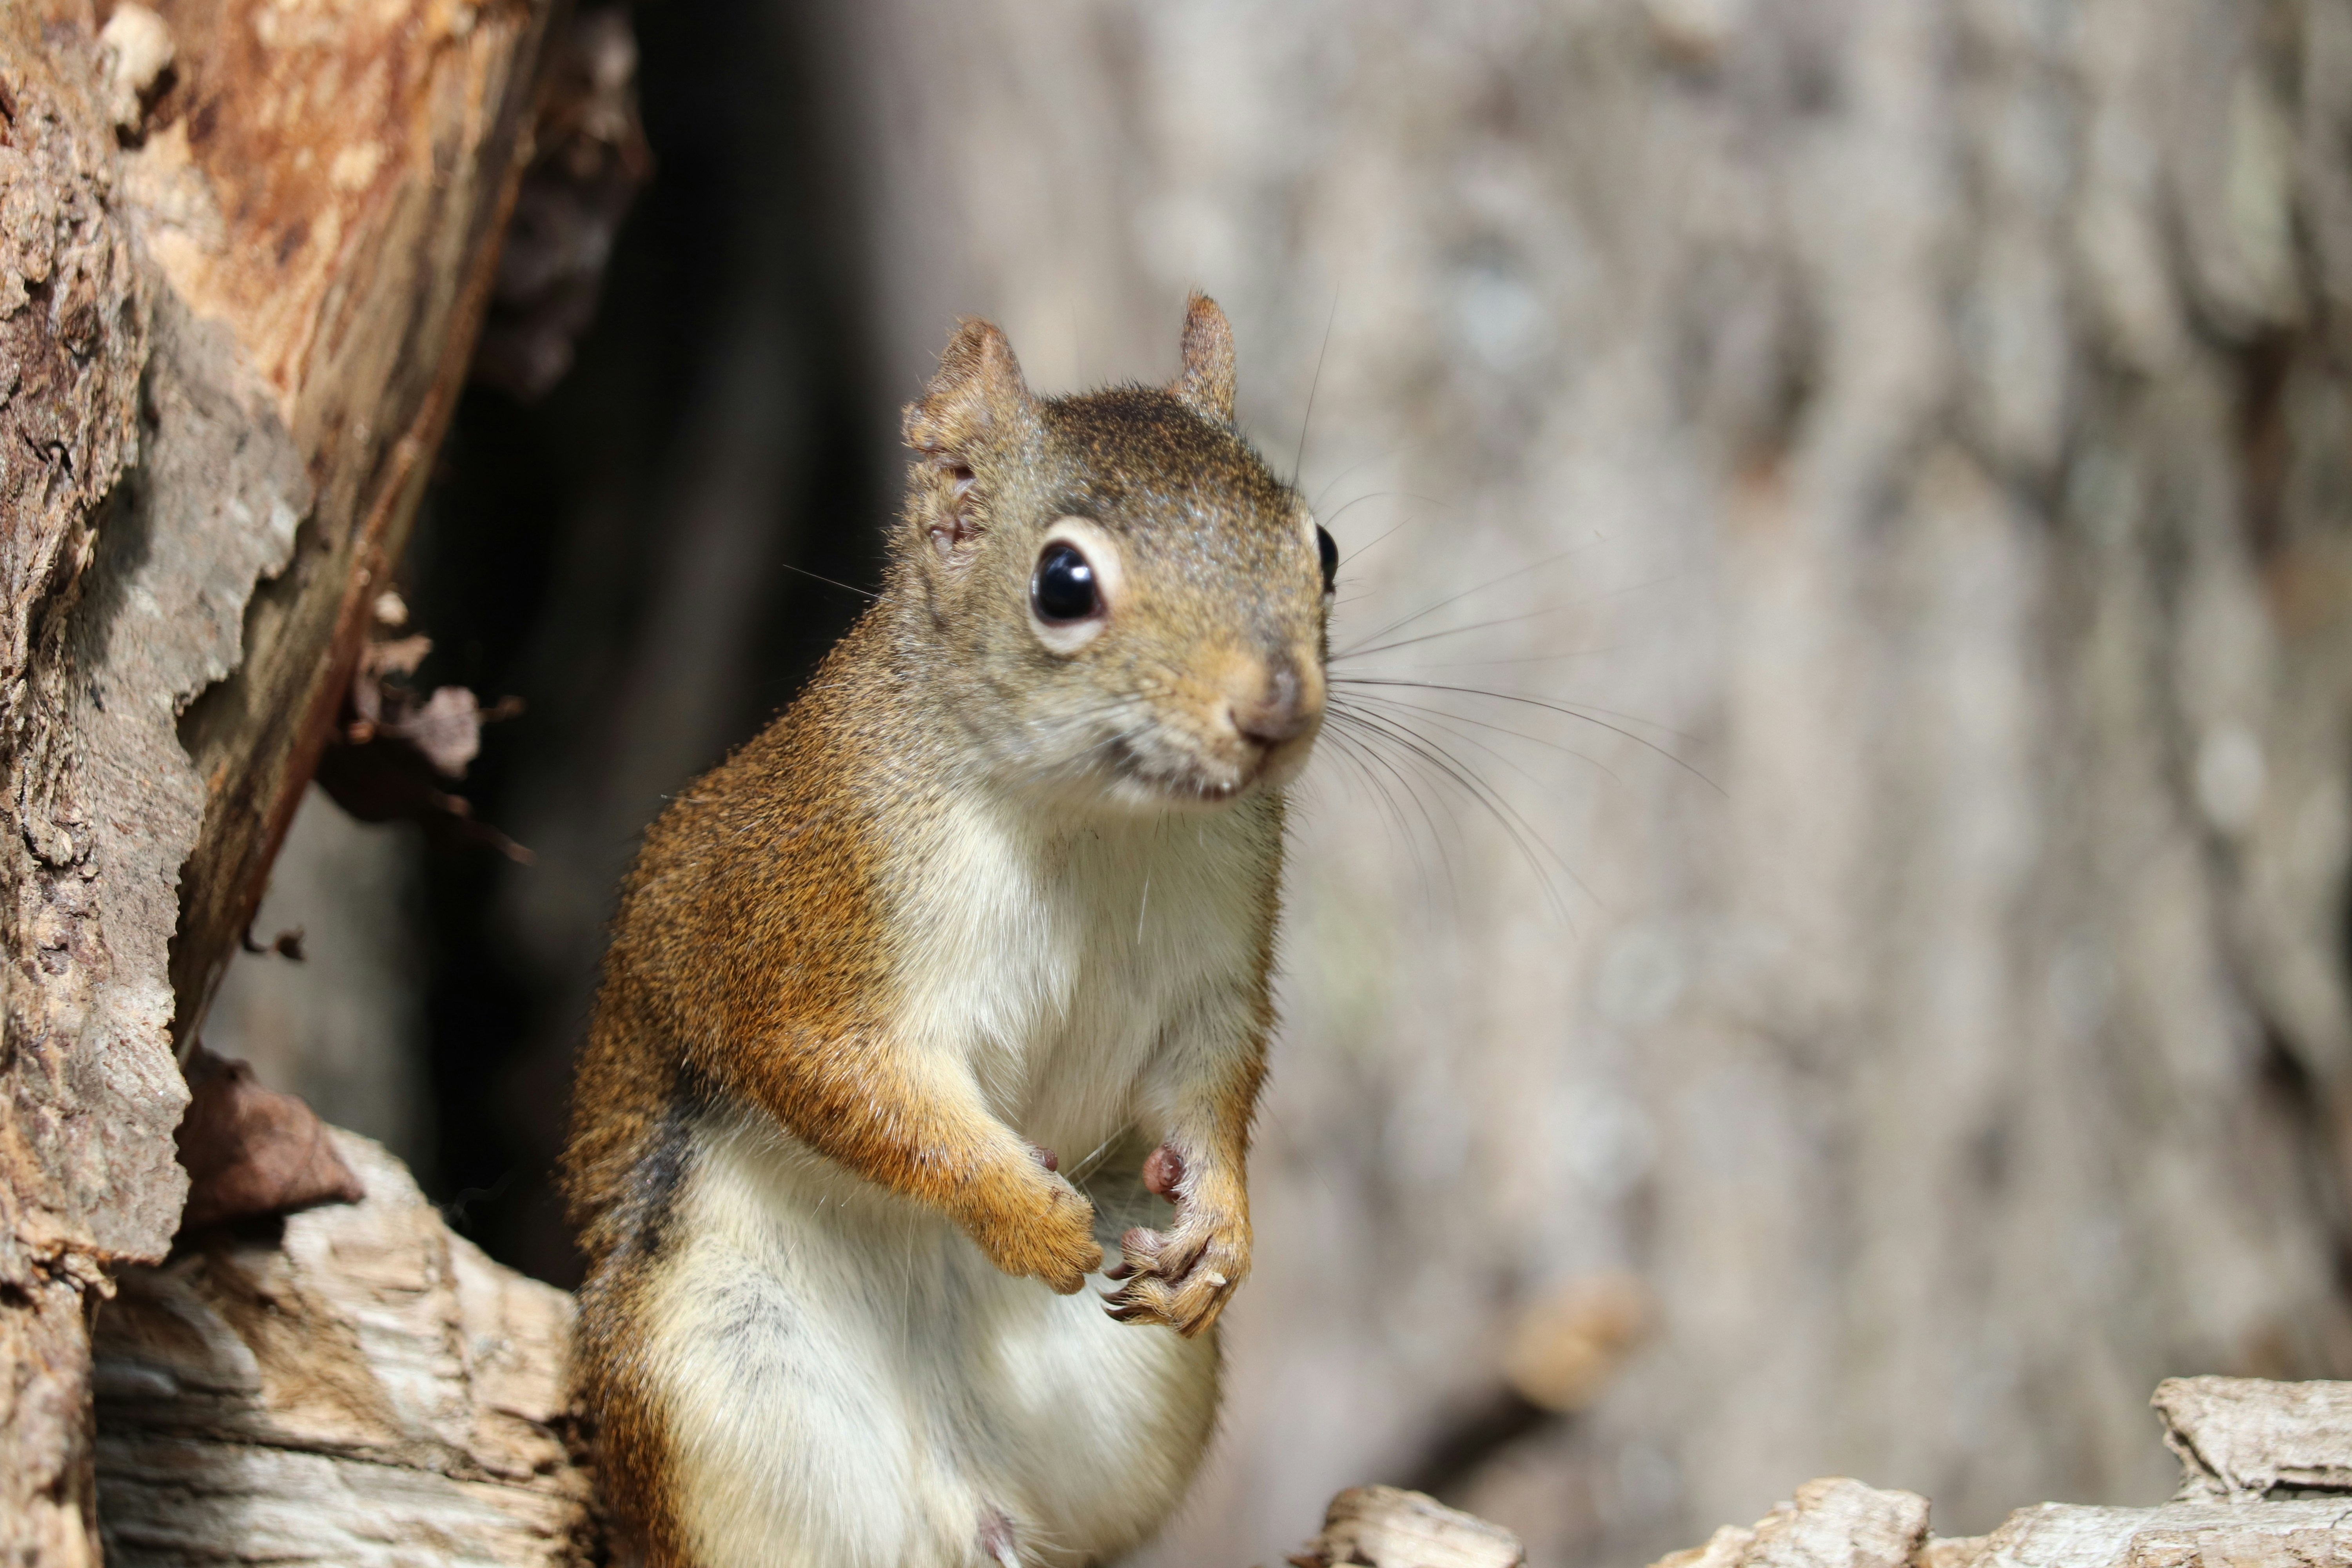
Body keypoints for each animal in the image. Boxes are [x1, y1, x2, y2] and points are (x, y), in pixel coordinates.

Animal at [562, 293, 1336, 1568]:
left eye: (1320, 547)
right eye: (1062, 583)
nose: (1277, 708)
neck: (1091, 825)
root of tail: (953, 1490)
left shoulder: (1216, 967)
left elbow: (1211, 1085)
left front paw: (1224, 1228)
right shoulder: (810, 929)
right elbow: (841, 1081)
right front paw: (1023, 1215)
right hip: (715, 1387)